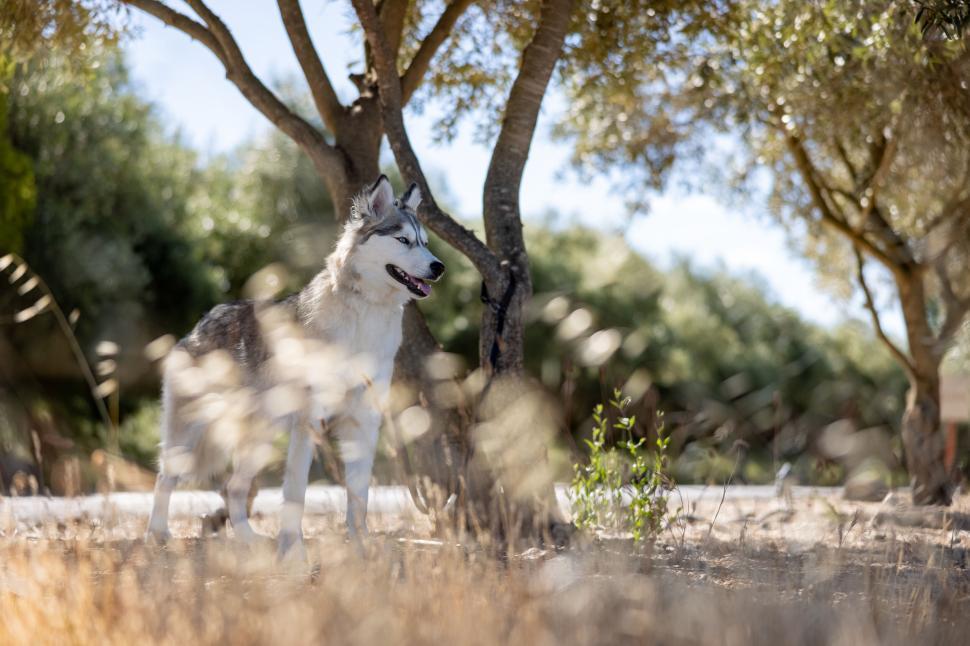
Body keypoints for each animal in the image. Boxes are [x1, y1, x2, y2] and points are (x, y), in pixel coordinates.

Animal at [145, 175, 444, 559]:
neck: (366, 316)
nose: (439, 267)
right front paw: (293, 554)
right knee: (164, 479)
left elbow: (359, 498)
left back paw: (250, 542)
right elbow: (296, 493)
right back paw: (157, 536)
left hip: (259, 440)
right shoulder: (309, 423)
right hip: (191, 438)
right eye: (403, 240)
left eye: (425, 243)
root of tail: (200, 323)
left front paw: (362, 549)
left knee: (233, 488)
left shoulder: (364, 423)